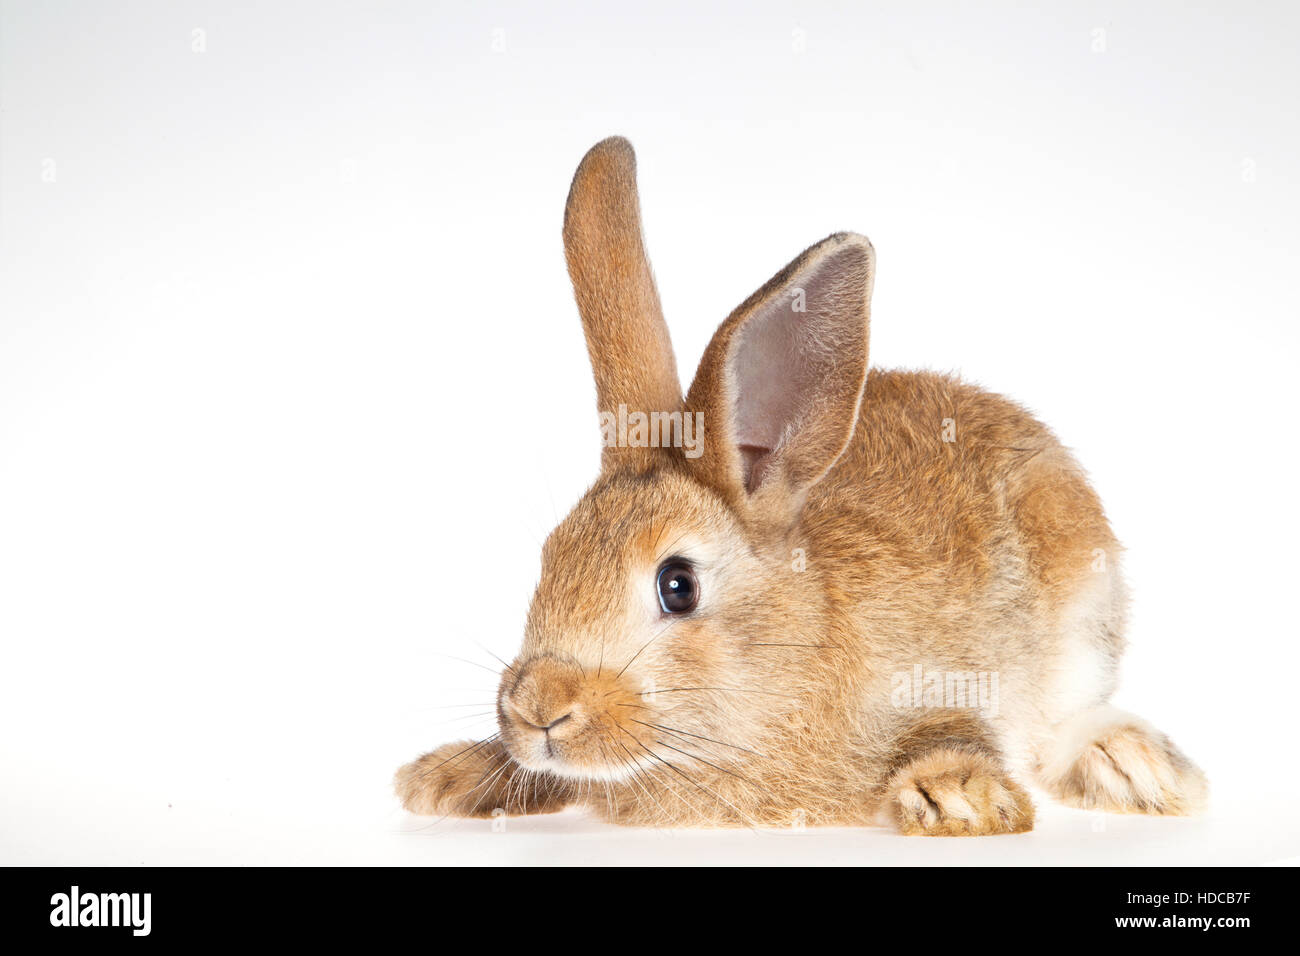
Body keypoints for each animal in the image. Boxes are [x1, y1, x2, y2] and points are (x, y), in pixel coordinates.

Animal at [394, 136, 1207, 833]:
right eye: (548, 557)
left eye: (678, 585)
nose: (539, 709)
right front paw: (447, 779)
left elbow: (957, 730)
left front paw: (956, 797)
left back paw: (1132, 765)